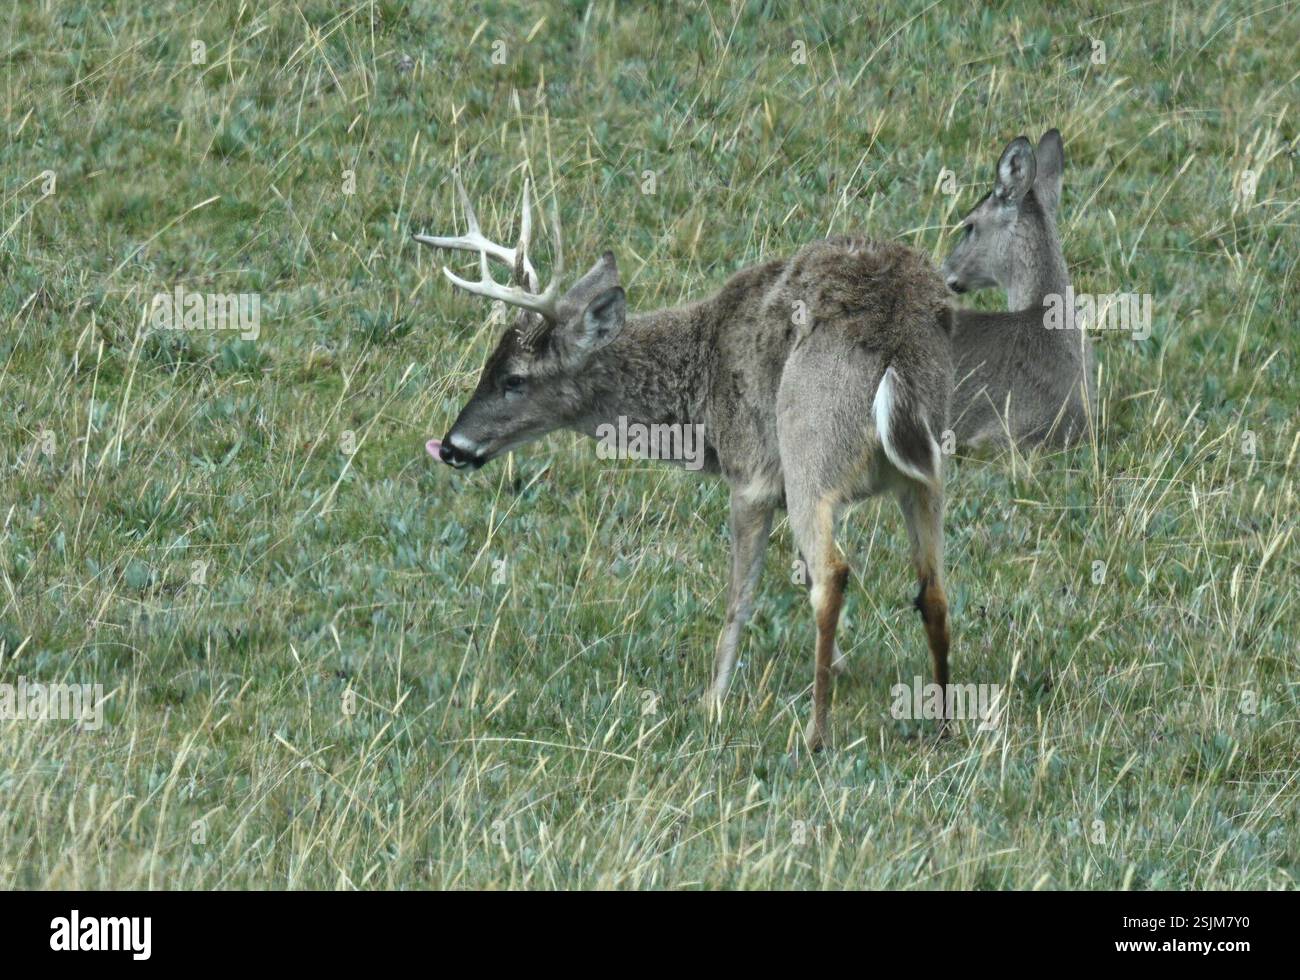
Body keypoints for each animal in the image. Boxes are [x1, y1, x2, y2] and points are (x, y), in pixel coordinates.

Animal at [415, 171, 955, 752]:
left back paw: (815, 734)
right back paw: (942, 724)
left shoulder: (752, 475)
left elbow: (740, 595)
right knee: (932, 588)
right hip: (924, 472)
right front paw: (835, 665)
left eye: (514, 379)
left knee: (832, 576)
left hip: (810, 451)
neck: (701, 389)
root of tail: (897, 337)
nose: (452, 445)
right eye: (487, 364)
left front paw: (712, 701)